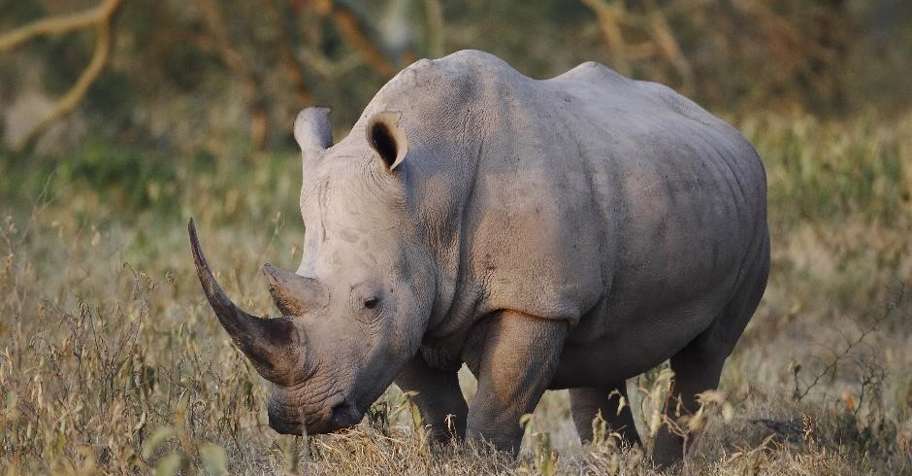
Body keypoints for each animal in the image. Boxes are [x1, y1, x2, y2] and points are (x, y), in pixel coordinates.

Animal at [188, 49, 769, 467]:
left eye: (369, 302)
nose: (301, 417)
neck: (427, 194)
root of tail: (724, 125)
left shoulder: (532, 301)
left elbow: (499, 405)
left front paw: (483, 463)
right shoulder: (414, 302)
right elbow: (438, 409)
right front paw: (448, 461)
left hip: (755, 215)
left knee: (705, 354)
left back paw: (669, 463)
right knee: (600, 355)